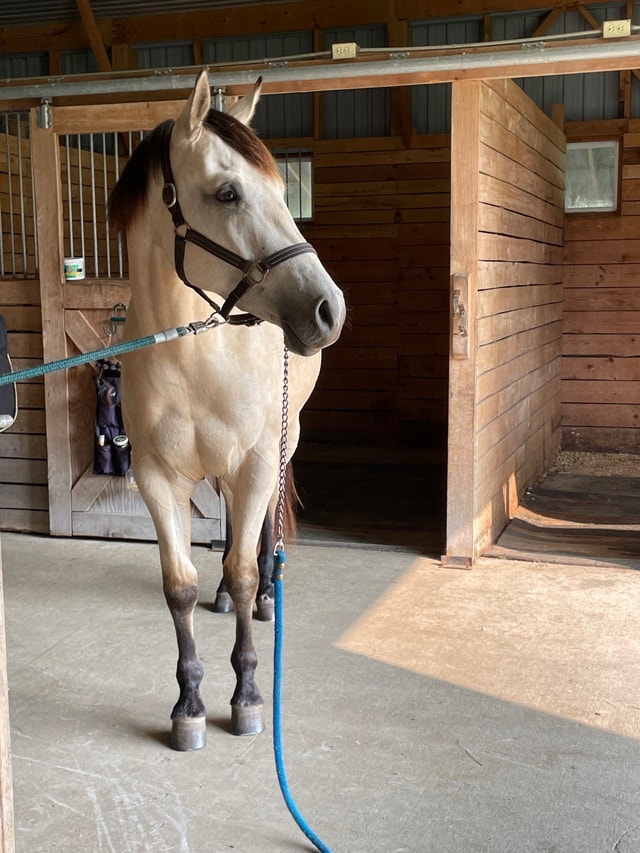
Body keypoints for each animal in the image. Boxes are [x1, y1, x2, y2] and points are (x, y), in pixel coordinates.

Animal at [108, 70, 345, 750]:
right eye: (228, 192)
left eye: (281, 189)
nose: (329, 309)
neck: (195, 357)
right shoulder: (157, 479)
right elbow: (179, 586)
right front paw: (188, 703)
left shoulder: (257, 460)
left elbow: (242, 566)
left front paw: (246, 695)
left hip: (280, 450)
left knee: (260, 531)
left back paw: (265, 596)